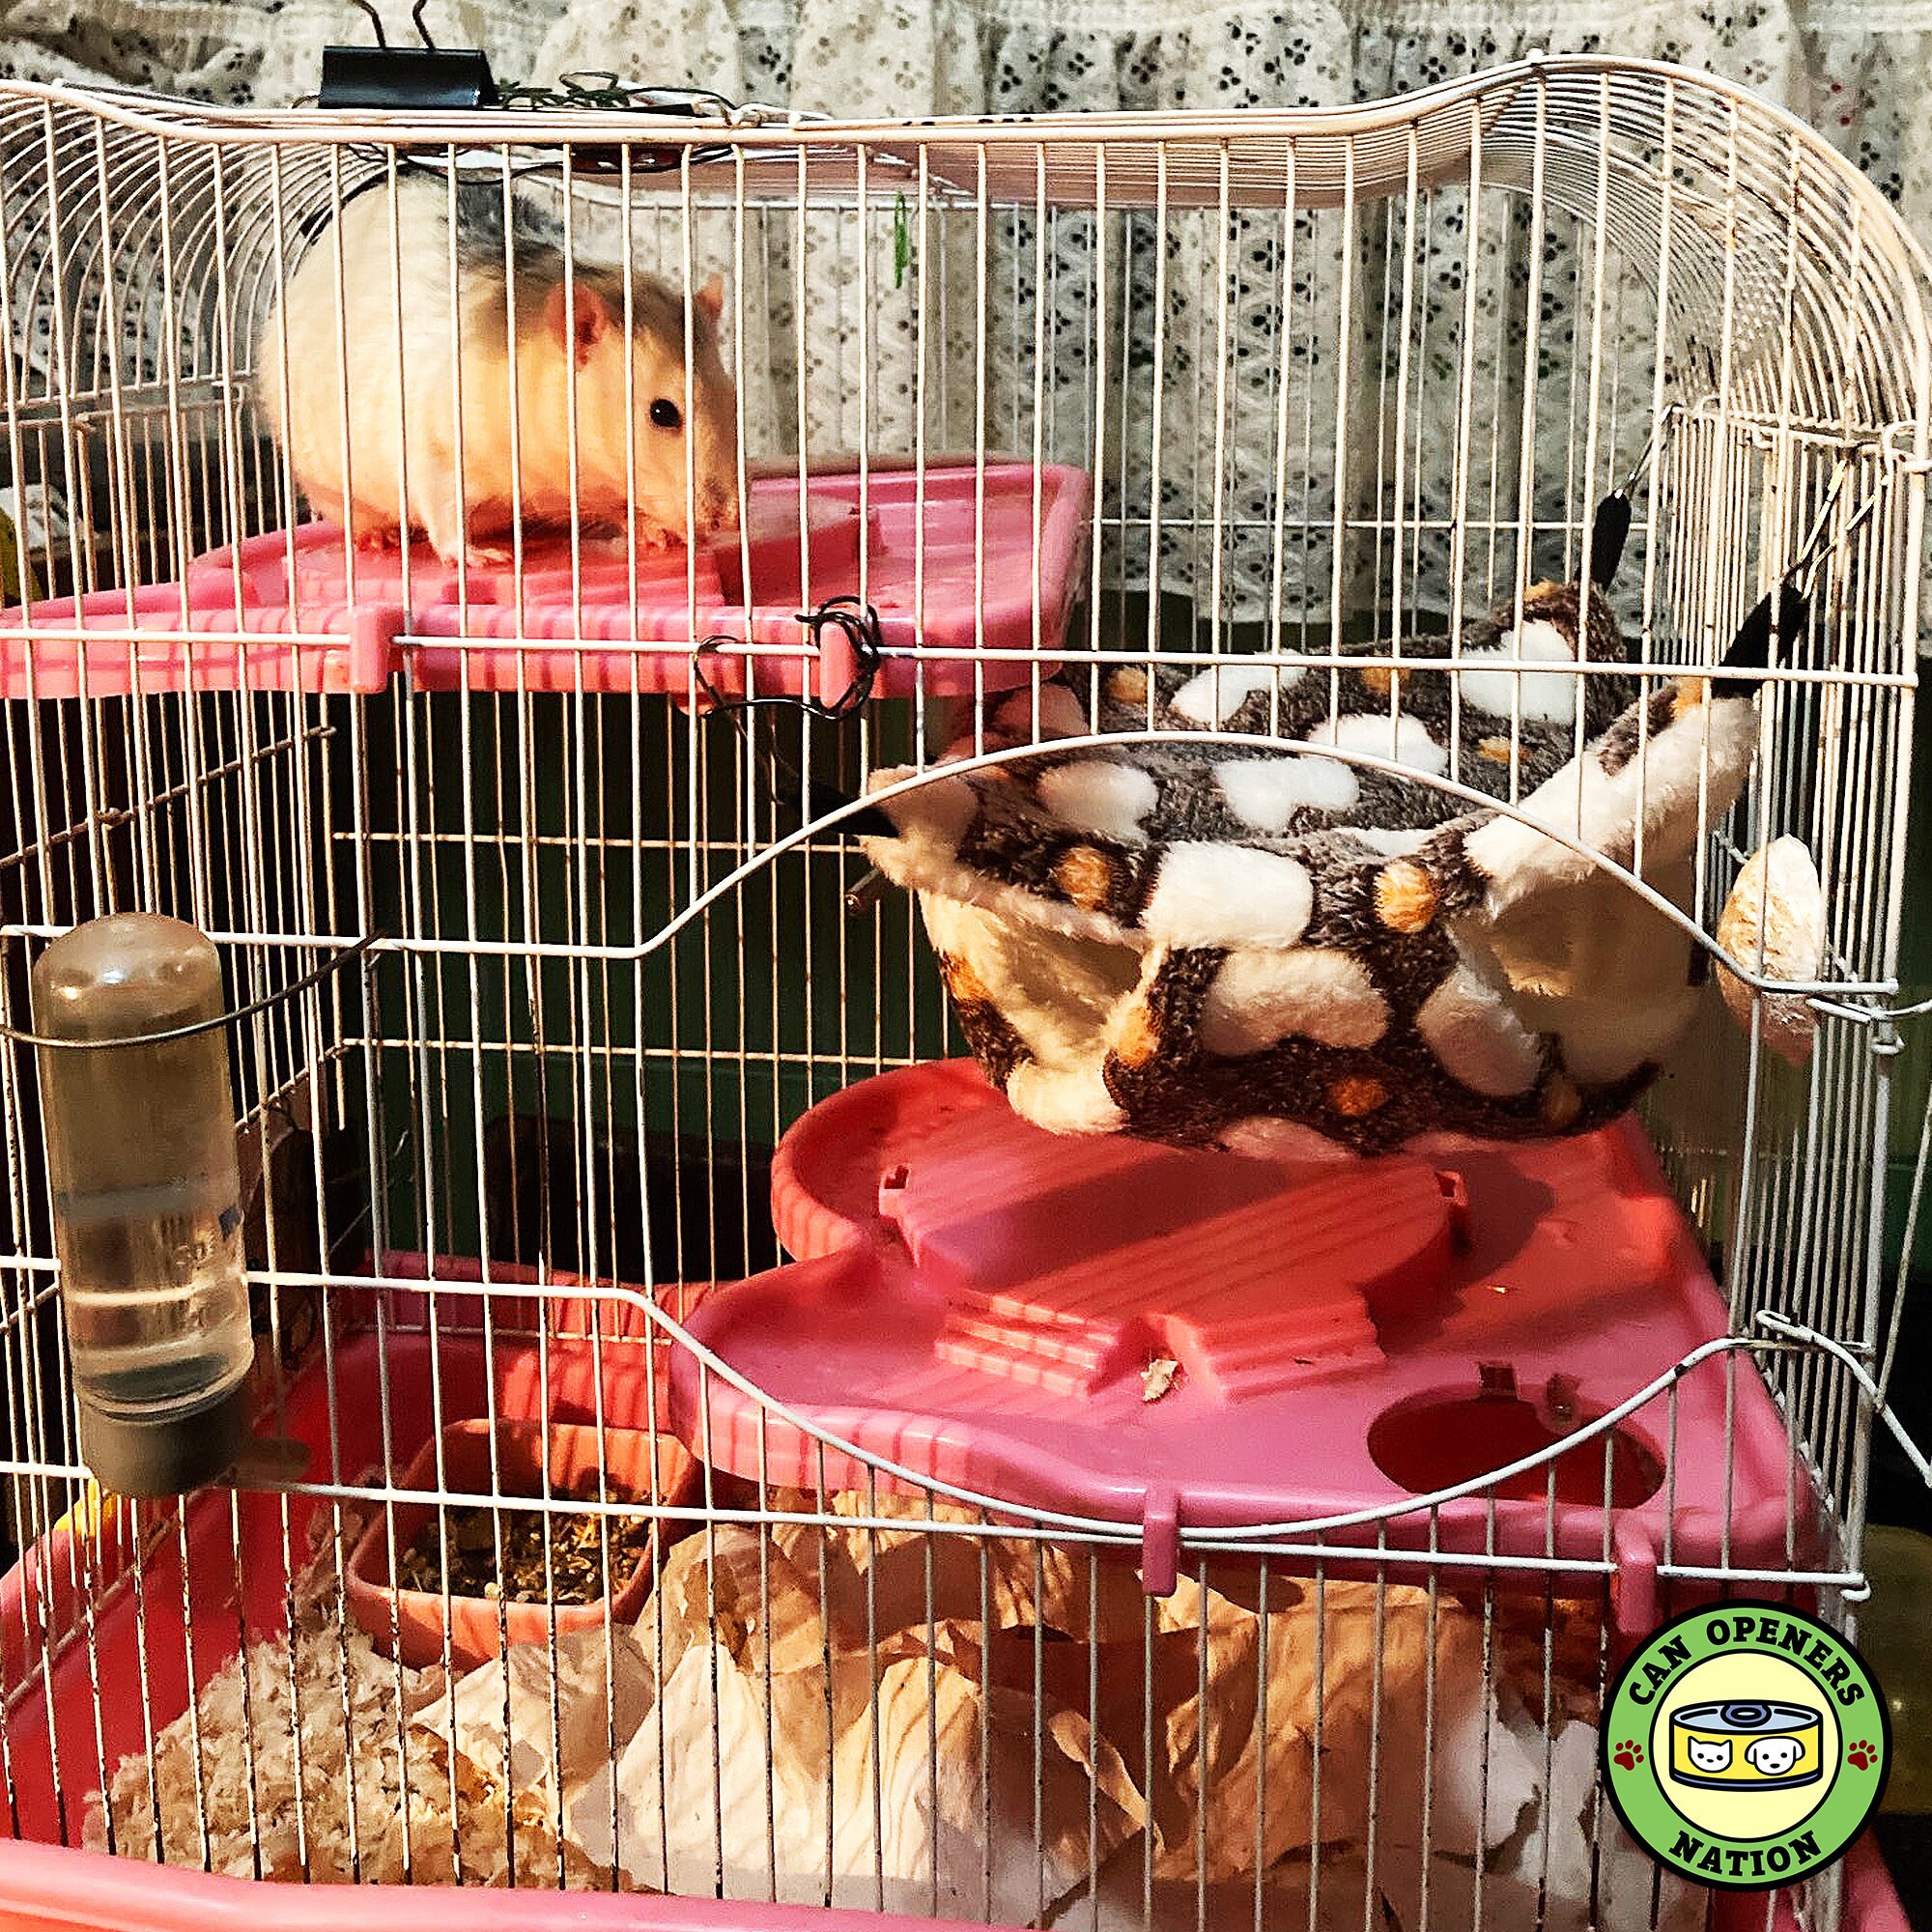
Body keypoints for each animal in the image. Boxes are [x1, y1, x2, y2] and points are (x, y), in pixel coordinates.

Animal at [254, 172, 739, 562]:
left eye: (733, 401)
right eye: (662, 412)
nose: (728, 517)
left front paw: (653, 529)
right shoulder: (437, 439)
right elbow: (439, 499)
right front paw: (468, 553)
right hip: (327, 482)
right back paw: (378, 535)